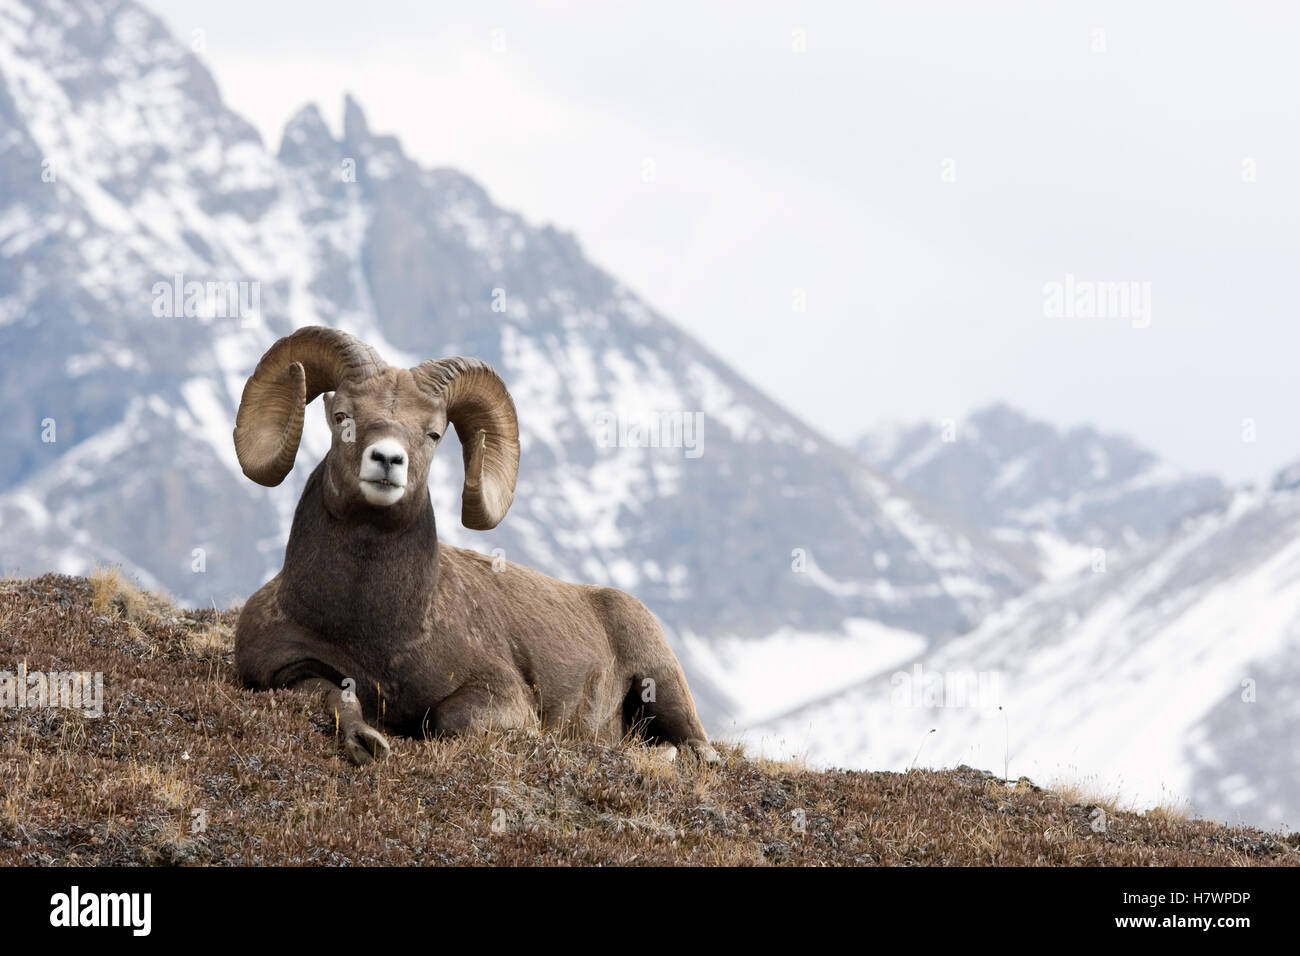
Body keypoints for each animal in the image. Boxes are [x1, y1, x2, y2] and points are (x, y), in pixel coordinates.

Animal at [231, 326, 718, 765]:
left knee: (697, 747)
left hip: (660, 681)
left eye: (433, 434)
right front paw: (366, 742)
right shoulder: (286, 670)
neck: (370, 626)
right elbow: (337, 698)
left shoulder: (499, 694)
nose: (387, 460)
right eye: (342, 417)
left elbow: (448, 720)